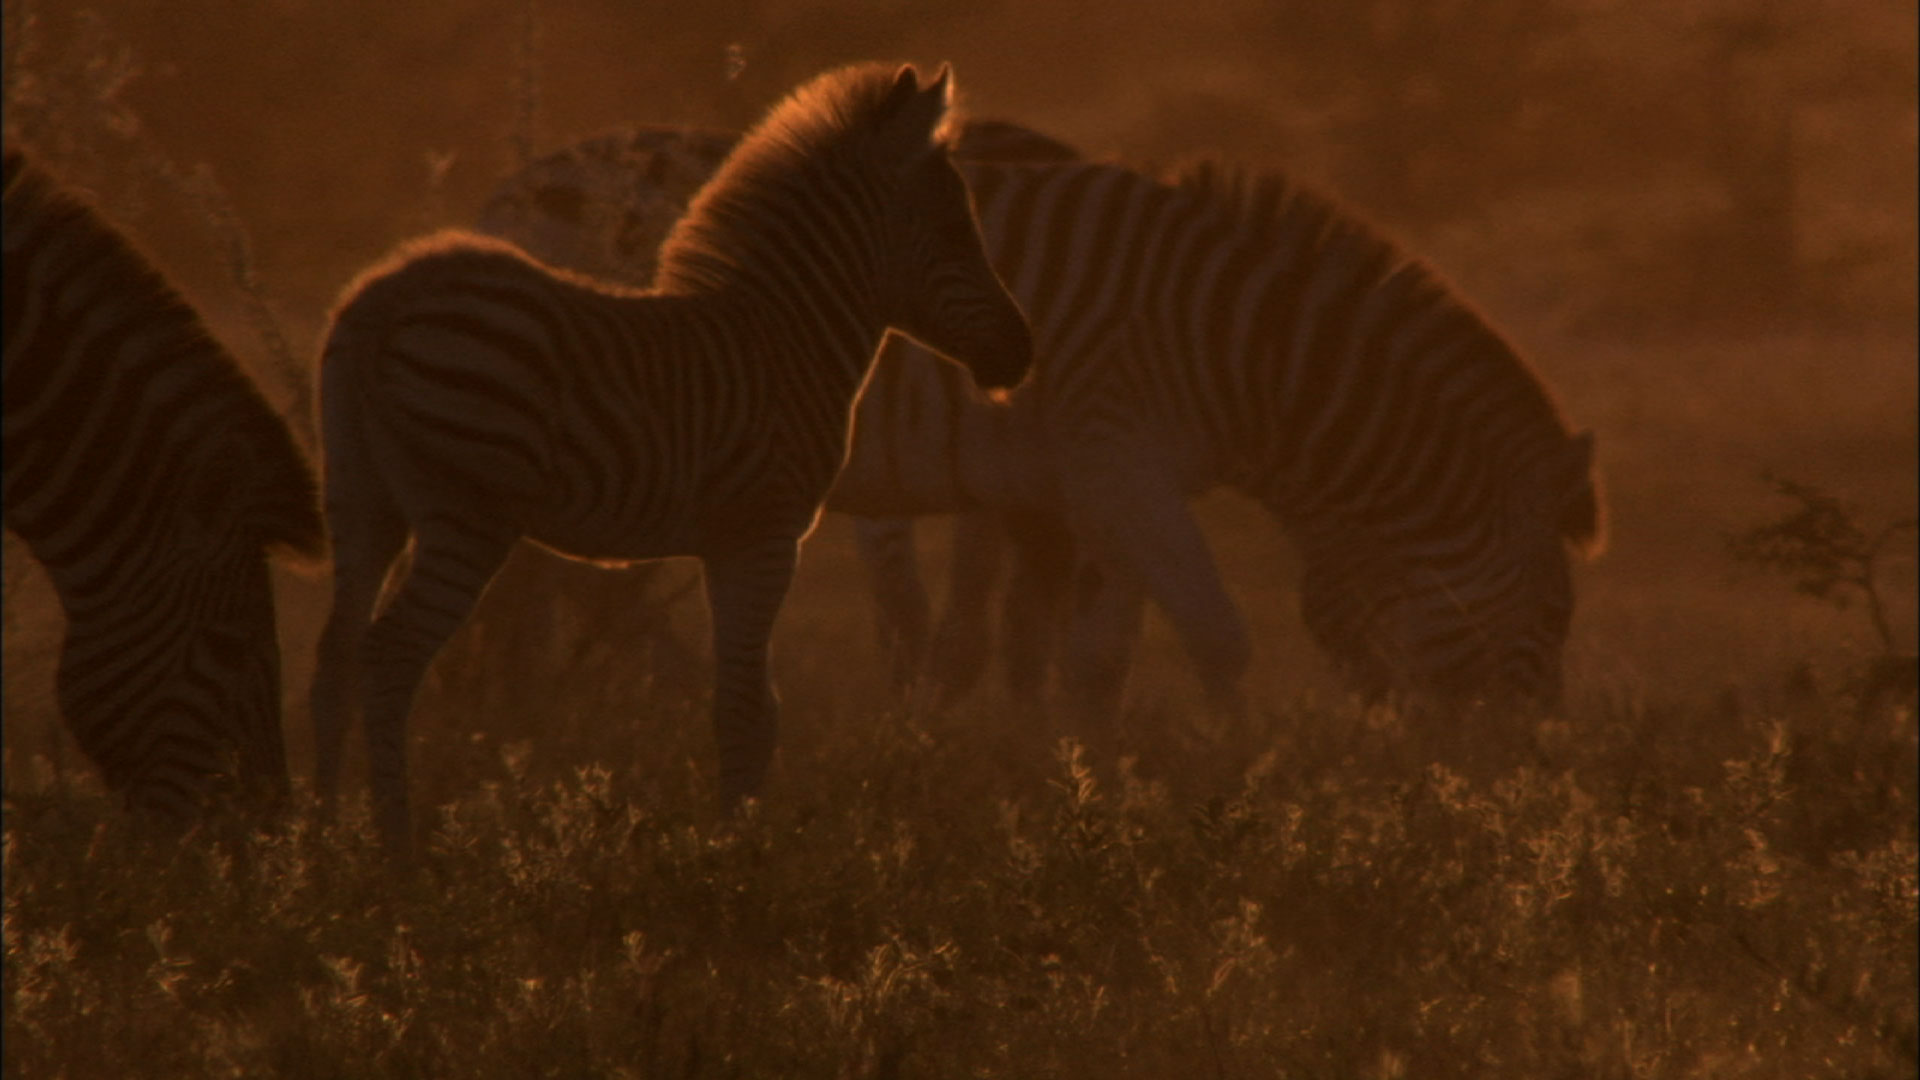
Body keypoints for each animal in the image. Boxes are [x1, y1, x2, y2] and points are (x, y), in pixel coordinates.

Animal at [309, 63, 1032, 852]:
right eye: (957, 227)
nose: (1022, 352)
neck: (787, 338)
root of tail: (383, 298)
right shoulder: (763, 535)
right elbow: (751, 710)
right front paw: (738, 854)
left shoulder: (725, 543)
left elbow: (739, 704)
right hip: (467, 513)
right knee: (388, 656)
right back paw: (398, 854)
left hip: (362, 496)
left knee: (334, 657)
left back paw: (315, 847)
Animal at [471, 134, 1605, 724]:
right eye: (1554, 613)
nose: (1519, 789)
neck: (1239, 347)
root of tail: (510, 184)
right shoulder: (1120, 467)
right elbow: (1217, 635)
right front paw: (1246, 791)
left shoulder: (1093, 488)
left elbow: (1096, 655)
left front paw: (1079, 805)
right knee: (553, 596)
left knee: (551, 596)